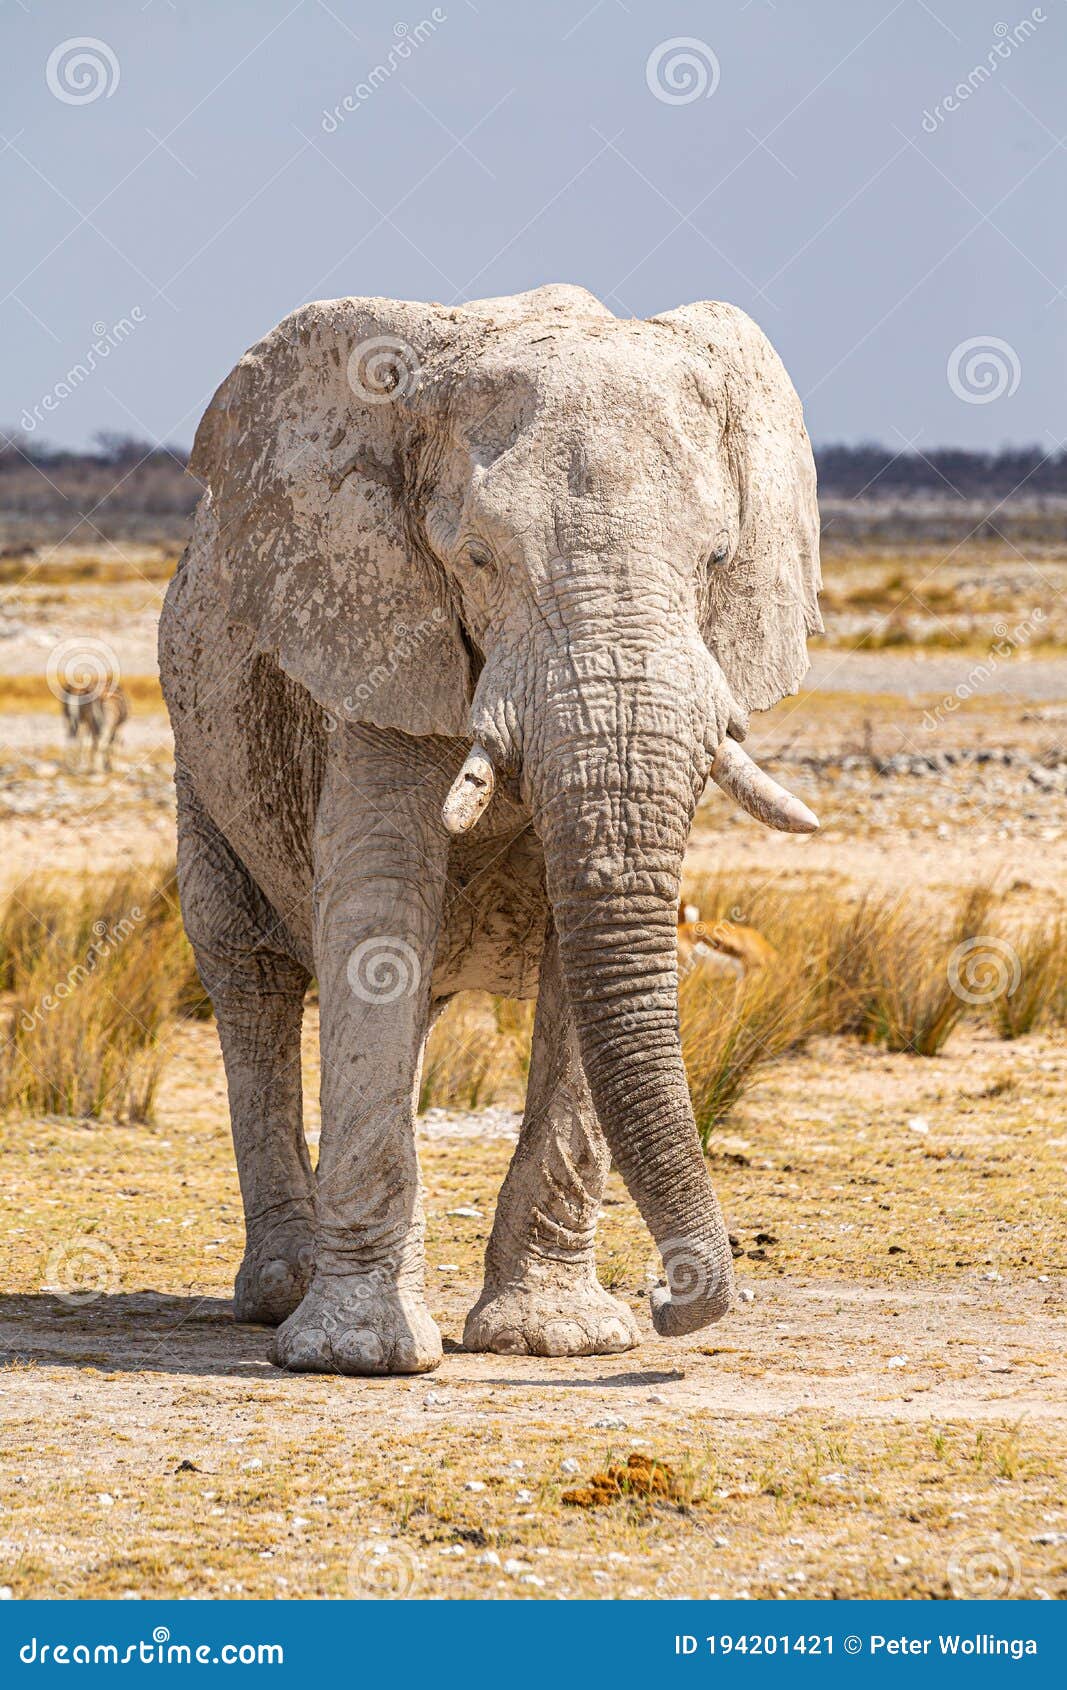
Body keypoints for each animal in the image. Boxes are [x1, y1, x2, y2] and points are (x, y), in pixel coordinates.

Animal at [159, 282, 821, 1376]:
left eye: (716, 559)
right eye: (475, 558)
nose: (671, 1297)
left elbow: (577, 952)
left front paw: (555, 1339)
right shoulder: (374, 630)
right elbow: (378, 907)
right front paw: (358, 1357)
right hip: (199, 757)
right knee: (249, 978)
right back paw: (281, 1295)